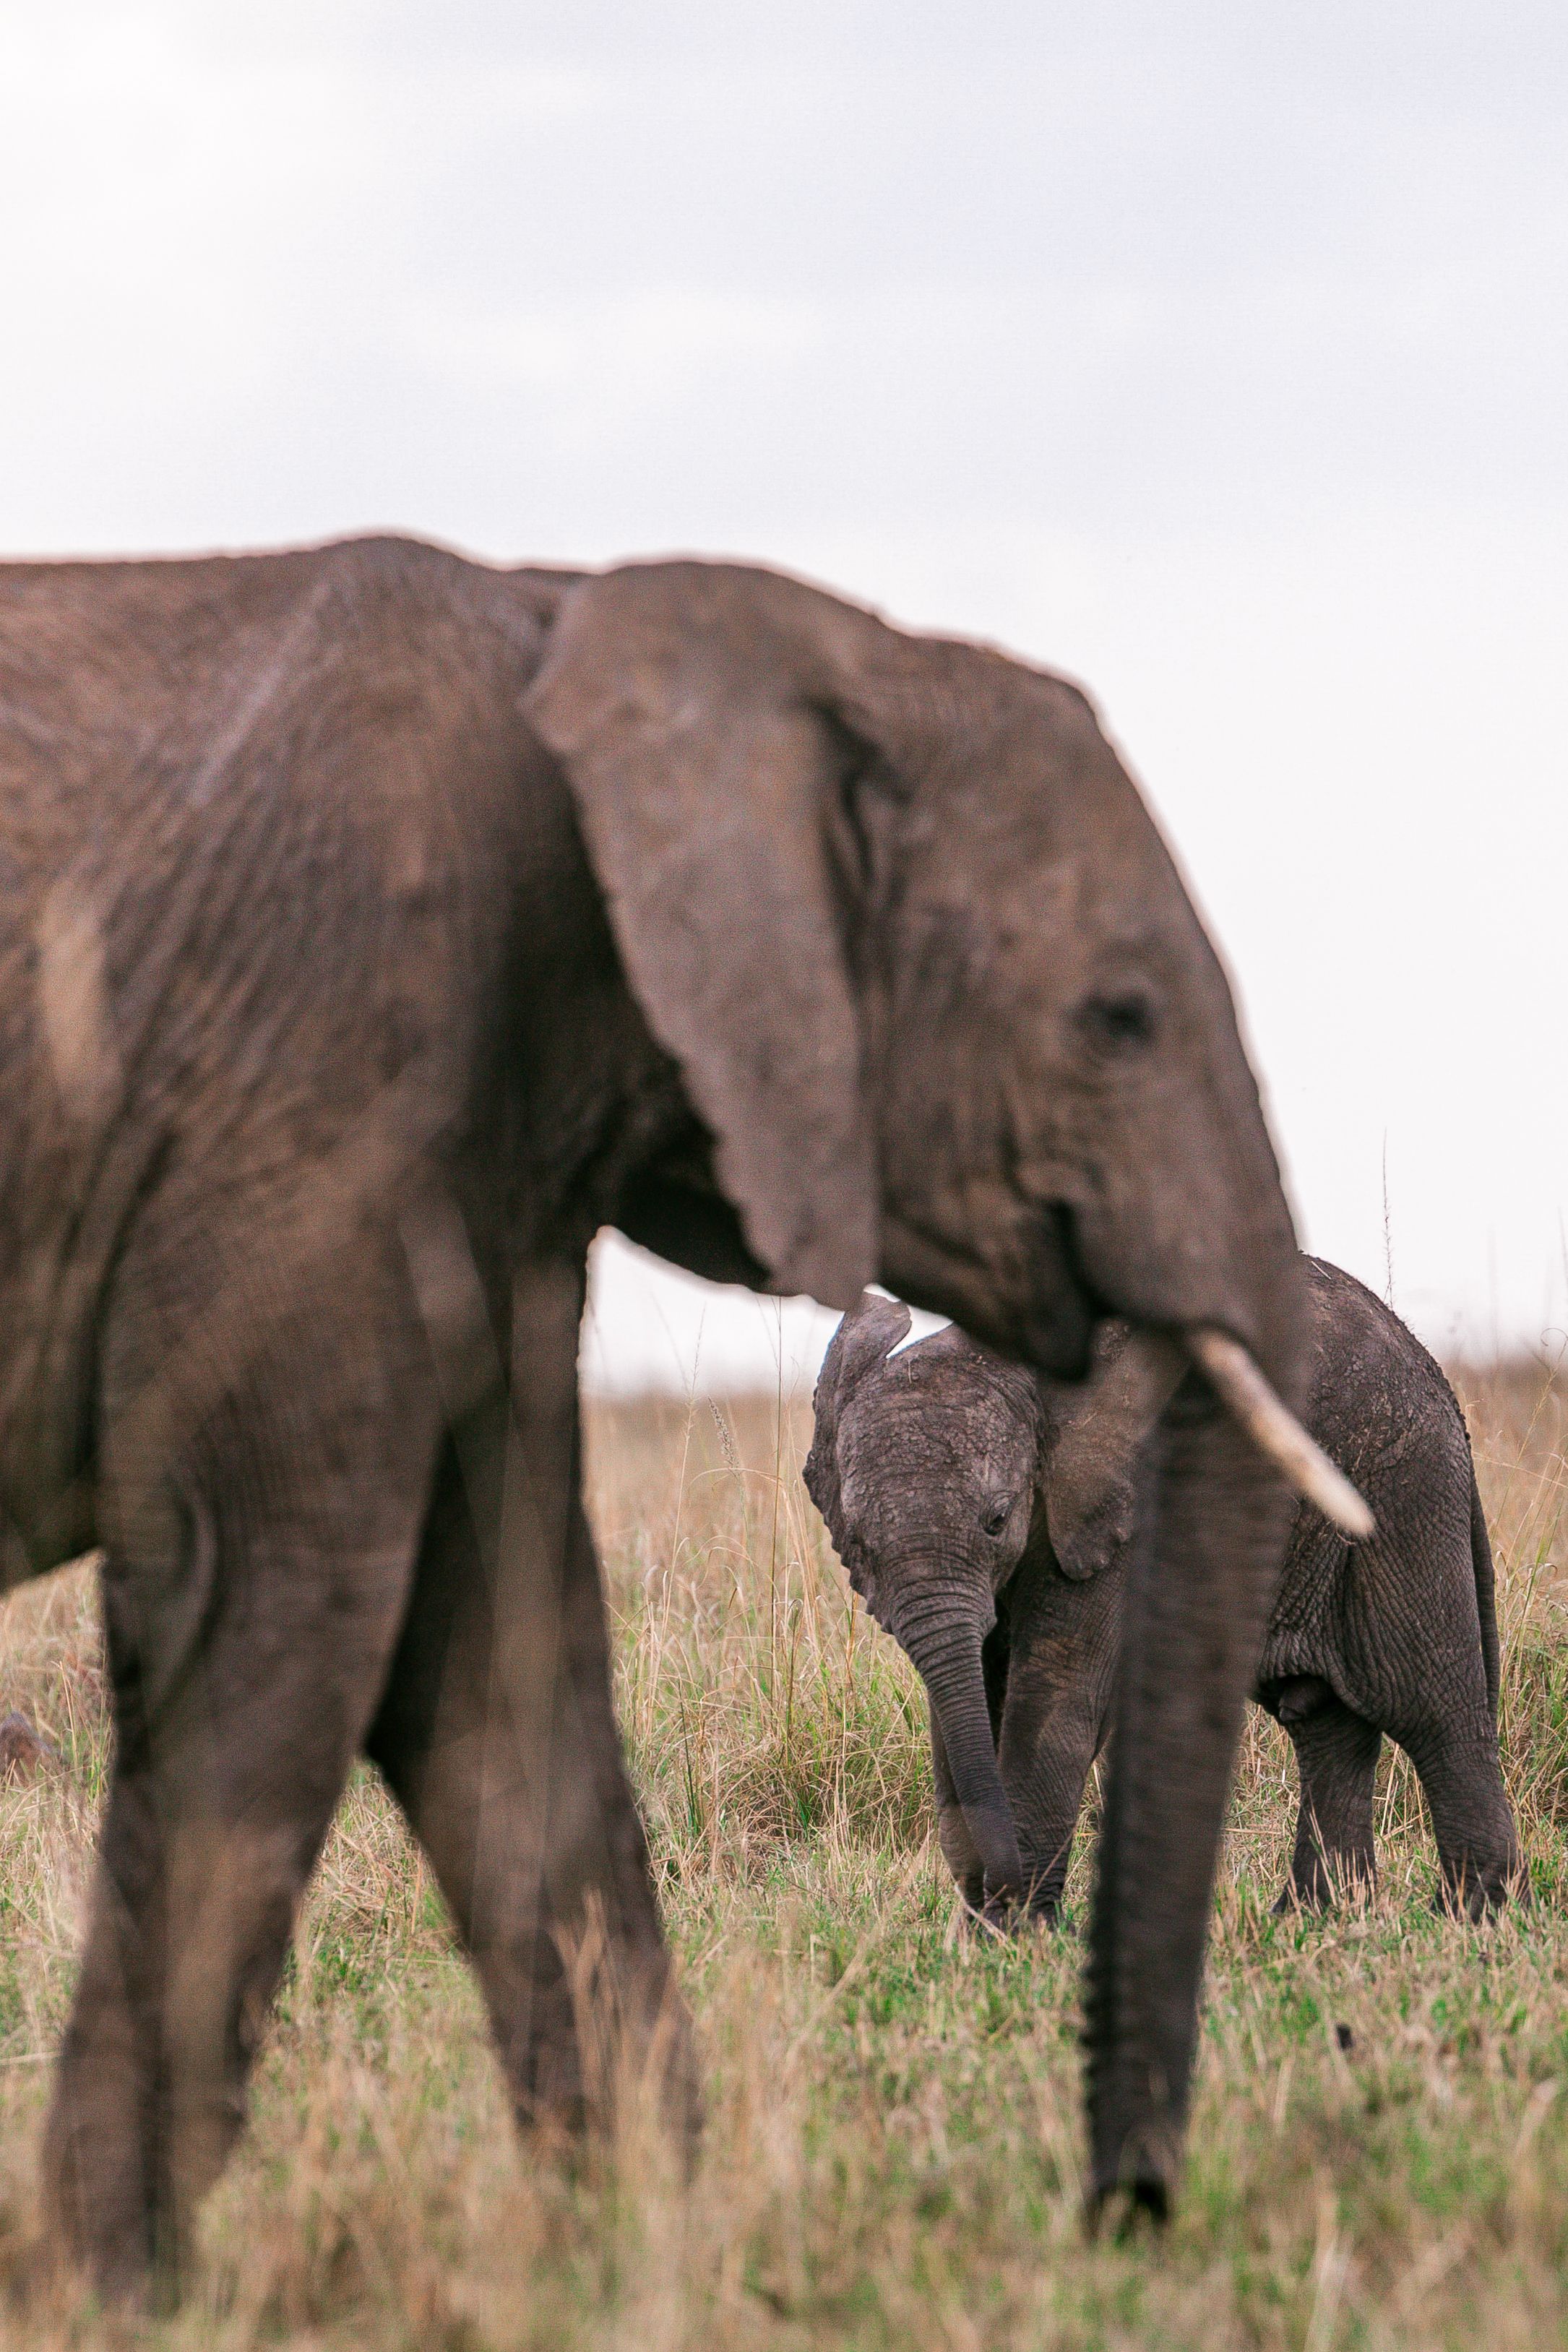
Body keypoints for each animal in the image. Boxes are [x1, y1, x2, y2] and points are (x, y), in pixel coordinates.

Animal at [0, 531, 1358, 2282]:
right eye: (1117, 1016)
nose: (1125, 2210)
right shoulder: (310, 1096)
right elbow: (269, 1629)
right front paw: (102, 2292)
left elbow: (504, 1668)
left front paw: (644, 2247)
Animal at [805, 1258, 1522, 1927]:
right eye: (859, 1541)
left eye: (996, 1518)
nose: (988, 1886)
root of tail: (1442, 1386)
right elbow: (972, 1692)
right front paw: (989, 1931)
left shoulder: (1122, 1501)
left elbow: (1059, 1693)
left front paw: (1010, 1937)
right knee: (1326, 1724)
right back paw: (1313, 1919)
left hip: (1401, 1492)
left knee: (1431, 1708)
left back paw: (1466, 1918)